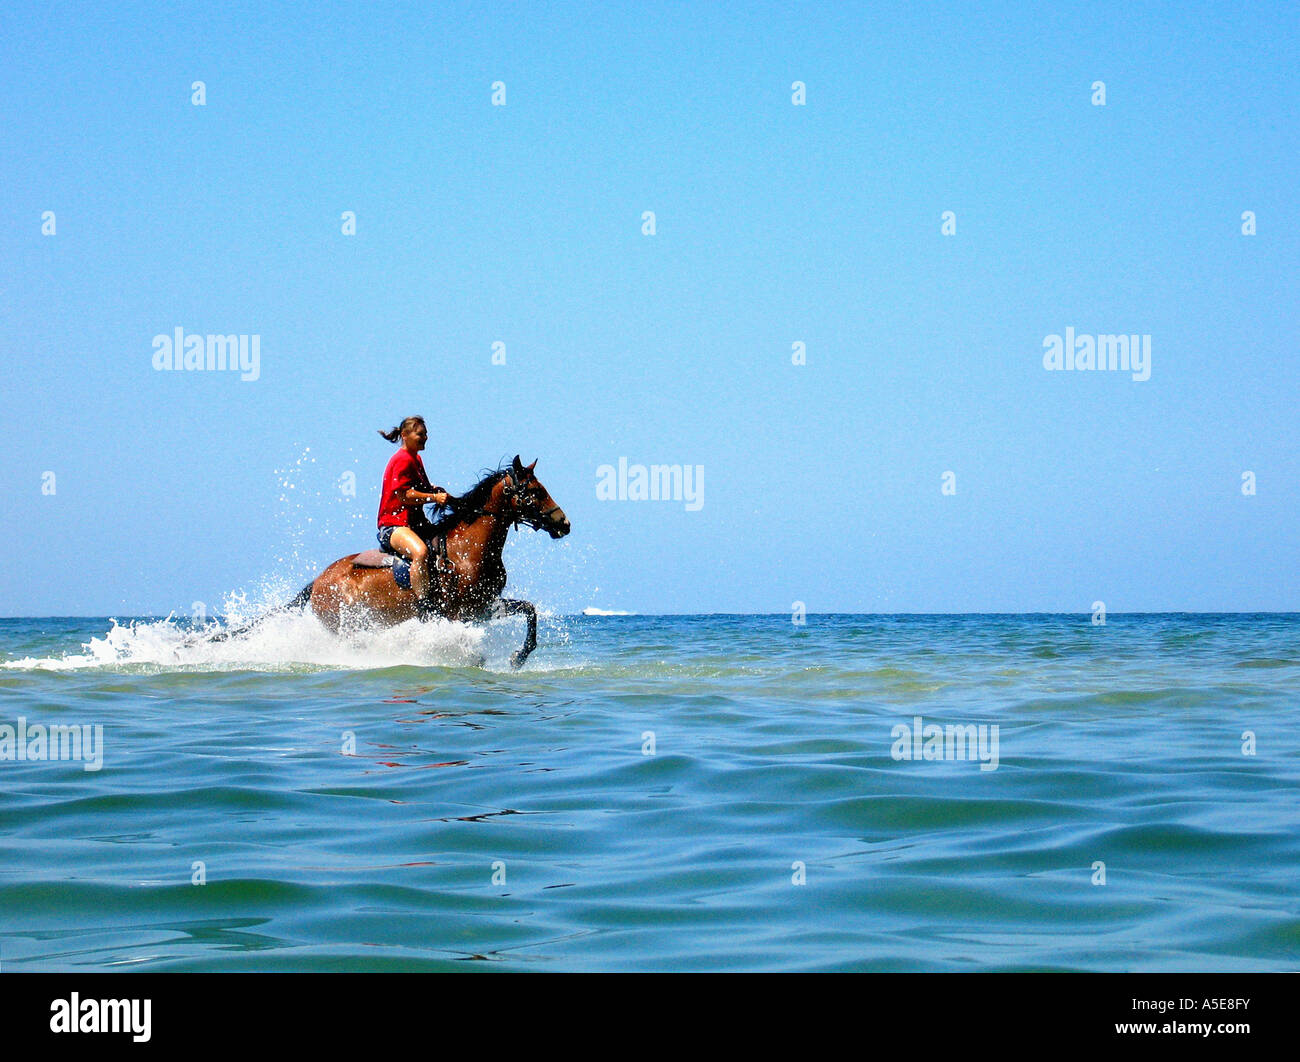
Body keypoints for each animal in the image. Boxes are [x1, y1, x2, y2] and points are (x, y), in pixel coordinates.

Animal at [287, 456, 569, 668]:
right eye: (534, 491)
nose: (564, 523)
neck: (468, 550)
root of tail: (318, 581)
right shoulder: (458, 614)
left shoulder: (483, 606)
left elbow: (529, 610)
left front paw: (518, 657)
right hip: (348, 626)